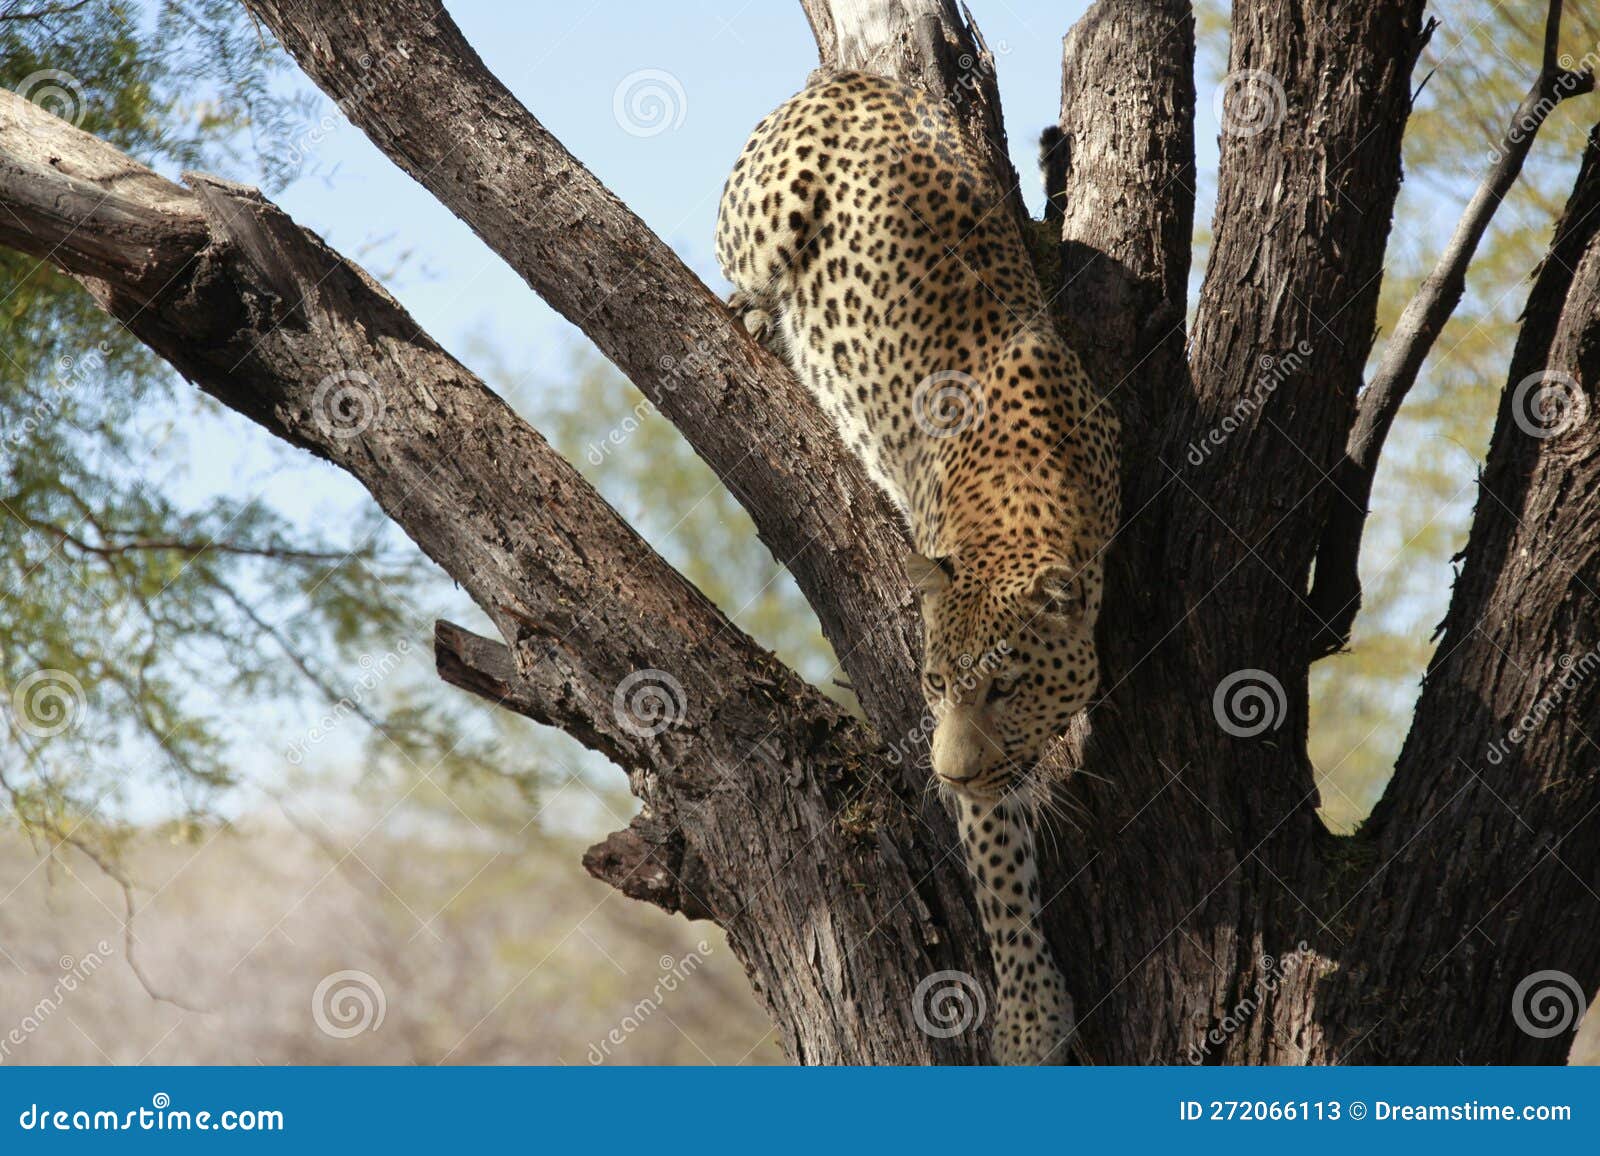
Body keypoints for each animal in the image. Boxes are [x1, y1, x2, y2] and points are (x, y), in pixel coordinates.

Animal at [715, 70, 1119, 1065]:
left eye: (1007, 687)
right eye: (933, 684)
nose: (952, 777)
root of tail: (848, 78)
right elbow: (1002, 870)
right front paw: (1028, 1017)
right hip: (765, 218)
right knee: (738, 265)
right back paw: (757, 313)